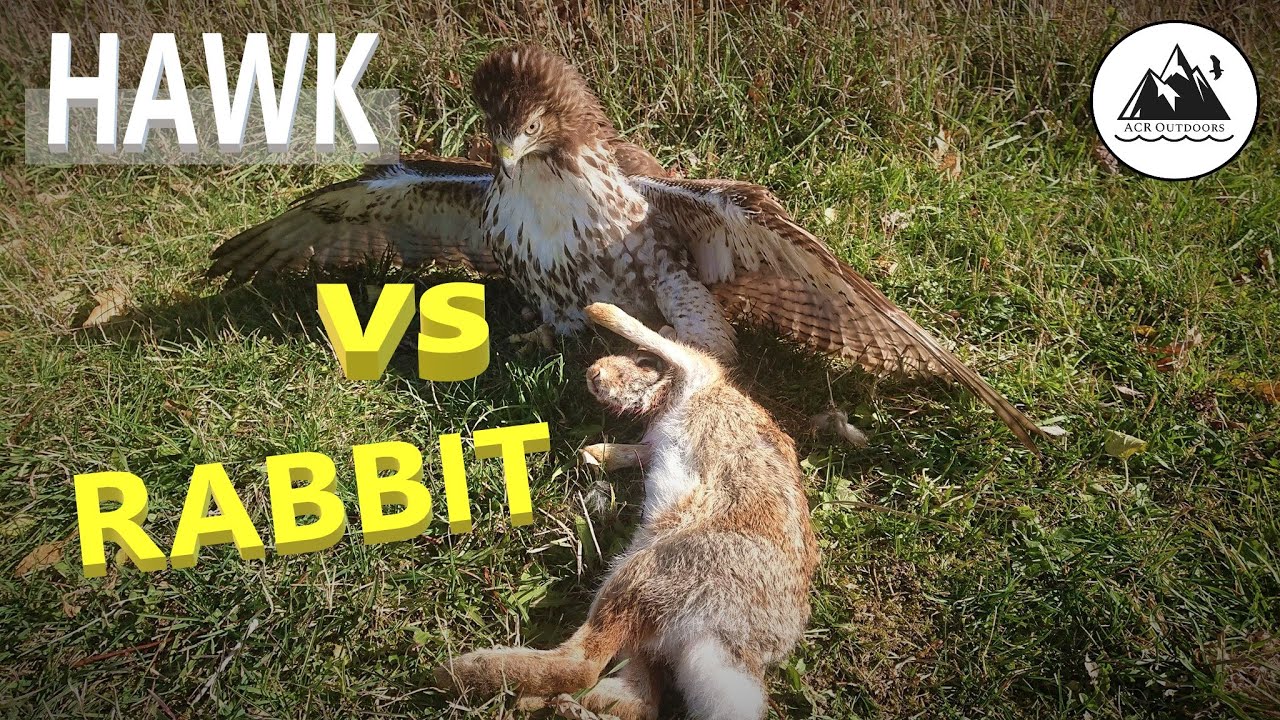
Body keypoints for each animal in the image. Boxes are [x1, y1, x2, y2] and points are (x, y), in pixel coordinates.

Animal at [435, 302, 819, 720]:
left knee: (581, 664)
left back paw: (464, 670)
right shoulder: (651, 443)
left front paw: (598, 309)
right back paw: (559, 704)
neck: (667, 395)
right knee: (641, 700)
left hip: (648, 573)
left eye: (644, 361)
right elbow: (637, 452)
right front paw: (593, 455)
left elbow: (647, 334)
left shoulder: (694, 367)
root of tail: (730, 641)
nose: (594, 374)